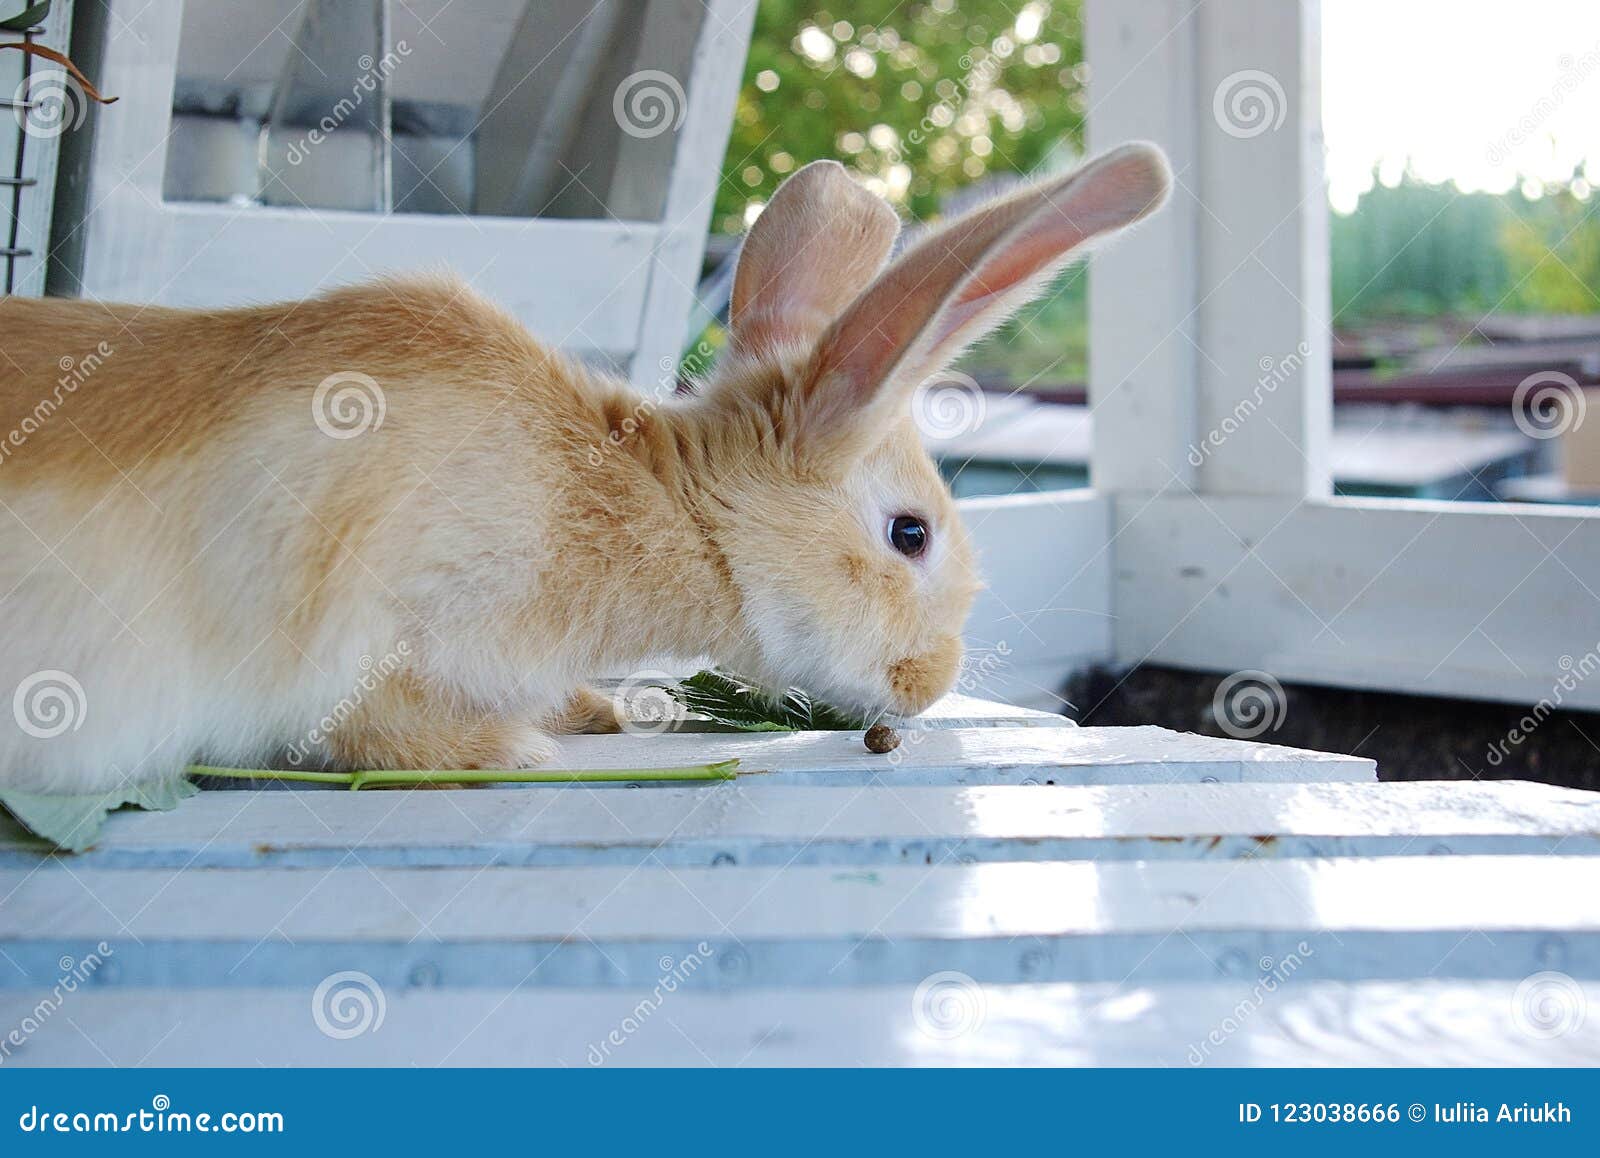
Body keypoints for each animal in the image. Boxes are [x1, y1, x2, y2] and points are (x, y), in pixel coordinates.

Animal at [0, 142, 1170, 794]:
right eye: (910, 534)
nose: (931, 684)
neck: (654, 504)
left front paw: (593, 715)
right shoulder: (366, 615)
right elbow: (372, 722)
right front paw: (507, 753)